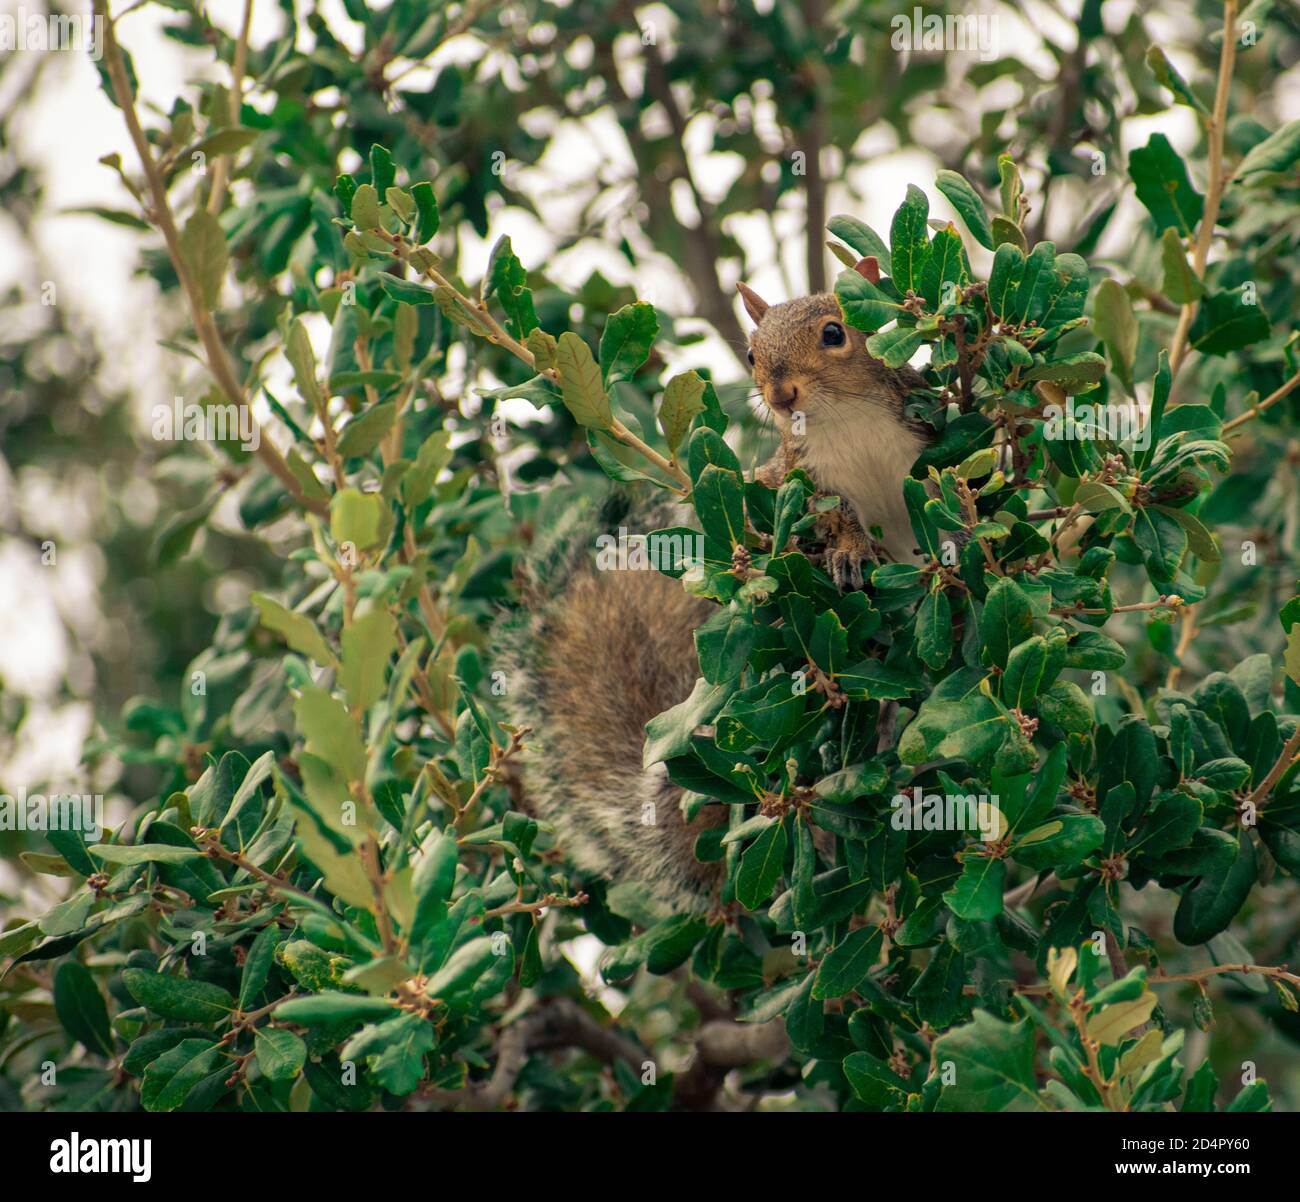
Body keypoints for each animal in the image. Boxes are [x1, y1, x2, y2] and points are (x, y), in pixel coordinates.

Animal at [496, 285, 933, 912]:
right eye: (751, 354)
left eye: (834, 333)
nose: (780, 394)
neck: (848, 421)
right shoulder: (800, 480)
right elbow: (829, 520)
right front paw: (848, 550)